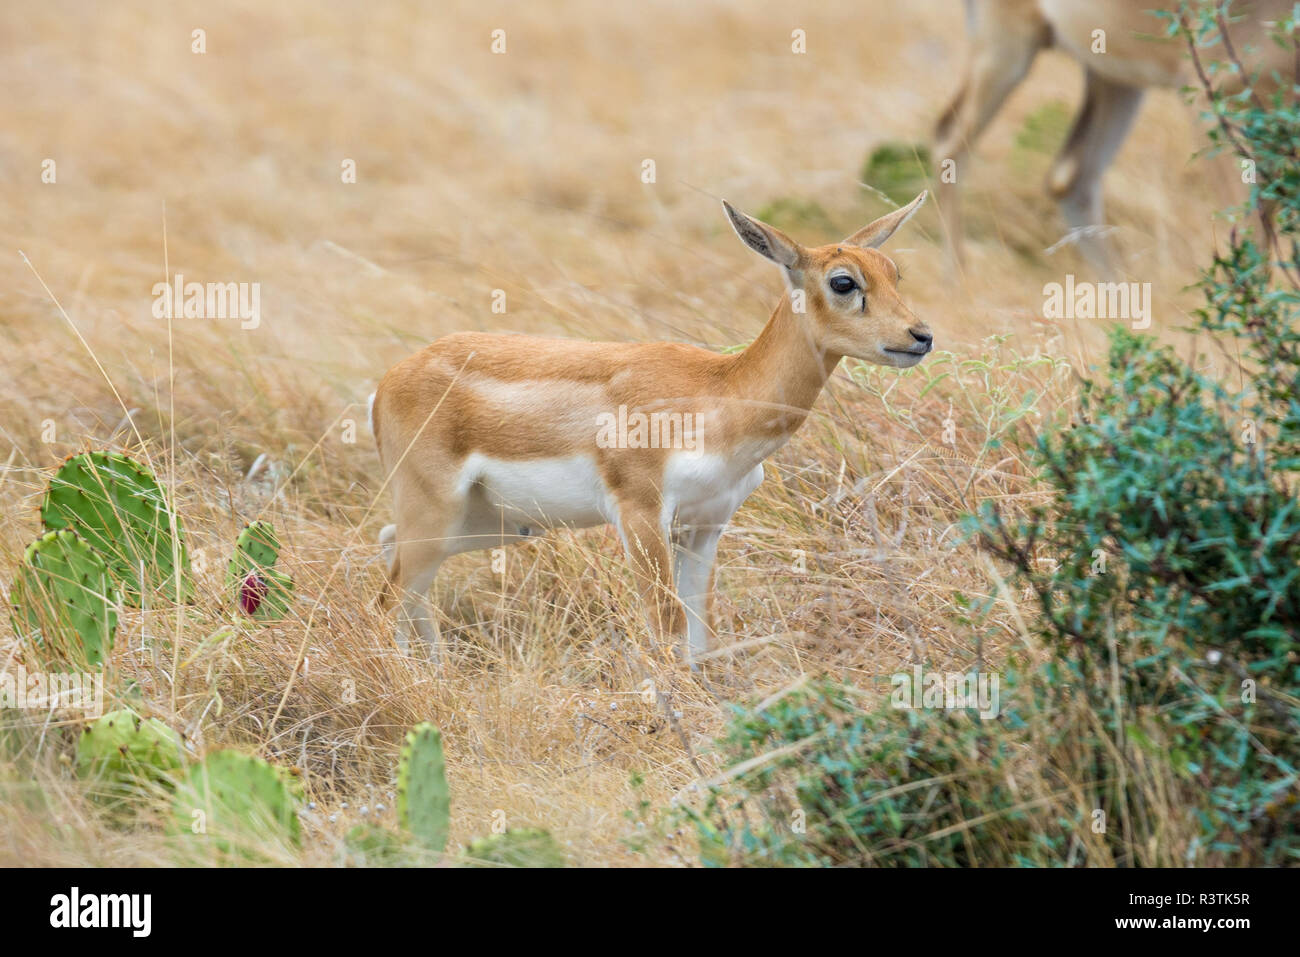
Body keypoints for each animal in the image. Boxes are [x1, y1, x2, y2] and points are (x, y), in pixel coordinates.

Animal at [369, 191, 933, 666]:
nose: (920, 336)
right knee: (386, 600)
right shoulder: (640, 516)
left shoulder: (704, 527)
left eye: (894, 273)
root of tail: (390, 379)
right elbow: (667, 626)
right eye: (843, 281)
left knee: (395, 560)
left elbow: (702, 638)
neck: (718, 391)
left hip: (482, 525)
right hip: (437, 515)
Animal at [934, 0, 1293, 269]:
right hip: (1005, 49)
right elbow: (1246, 223)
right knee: (948, 141)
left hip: (1114, 79)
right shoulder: (1209, 101)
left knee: (1069, 178)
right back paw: (958, 281)